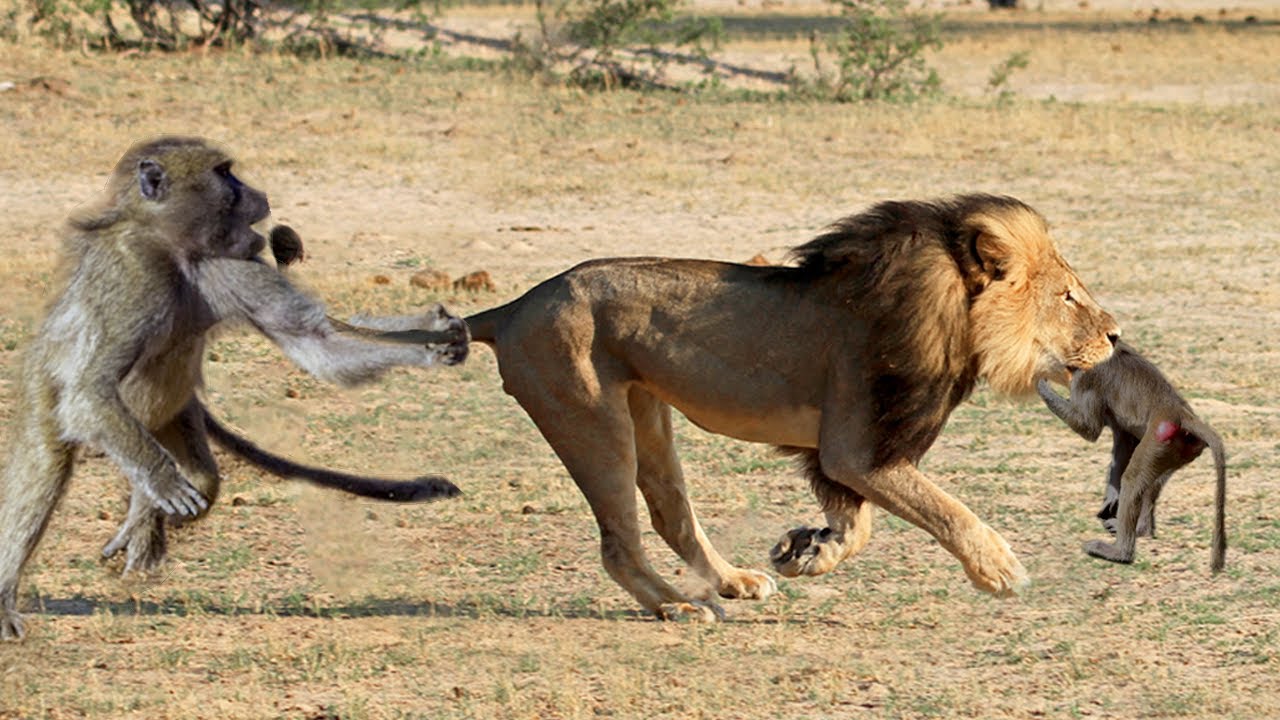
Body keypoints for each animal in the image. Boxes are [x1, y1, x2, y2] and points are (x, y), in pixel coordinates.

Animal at [0, 137, 469, 640]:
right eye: (226, 175)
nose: (260, 194)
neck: (177, 250)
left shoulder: (235, 265)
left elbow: (318, 342)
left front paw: (436, 341)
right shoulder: (135, 276)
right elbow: (91, 385)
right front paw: (162, 481)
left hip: (174, 412)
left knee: (204, 477)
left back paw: (145, 521)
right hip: (54, 391)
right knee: (47, 465)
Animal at [464, 194, 1120, 621]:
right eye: (1067, 296)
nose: (1116, 335)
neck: (954, 315)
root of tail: (511, 307)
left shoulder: (845, 456)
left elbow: (861, 527)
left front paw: (806, 551)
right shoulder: (855, 450)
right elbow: (945, 508)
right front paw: (999, 569)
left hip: (646, 414)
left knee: (672, 516)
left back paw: (733, 583)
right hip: (592, 421)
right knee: (619, 543)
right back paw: (678, 608)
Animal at [1037, 340, 1226, 573]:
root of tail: (1179, 413)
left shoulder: (1088, 379)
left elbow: (1089, 429)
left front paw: (1041, 384)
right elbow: (1123, 441)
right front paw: (1111, 497)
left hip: (1159, 438)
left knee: (1134, 479)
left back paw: (1120, 553)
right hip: (1179, 447)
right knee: (1151, 482)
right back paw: (1141, 530)